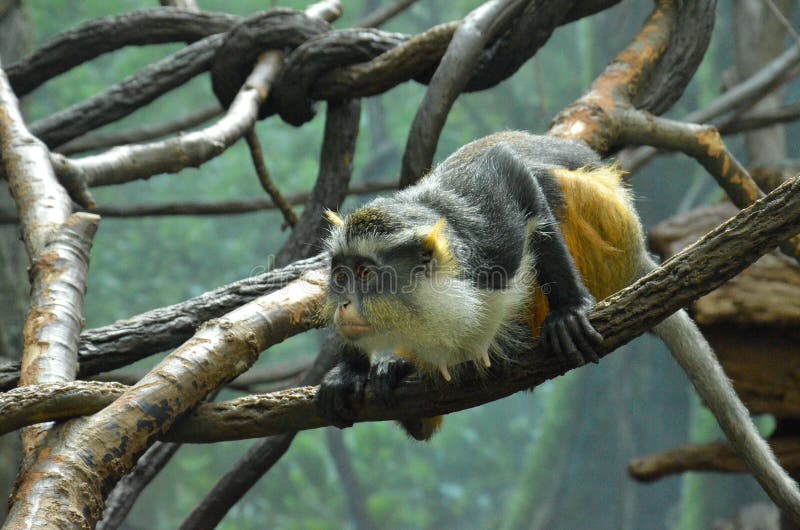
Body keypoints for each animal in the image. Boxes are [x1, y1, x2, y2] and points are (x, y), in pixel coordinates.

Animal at [313, 131, 800, 519]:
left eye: (366, 276)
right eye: (341, 277)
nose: (345, 305)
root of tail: (638, 253)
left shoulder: (491, 241)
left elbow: (513, 175)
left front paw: (568, 309)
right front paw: (352, 371)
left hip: (607, 226)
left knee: (551, 184)